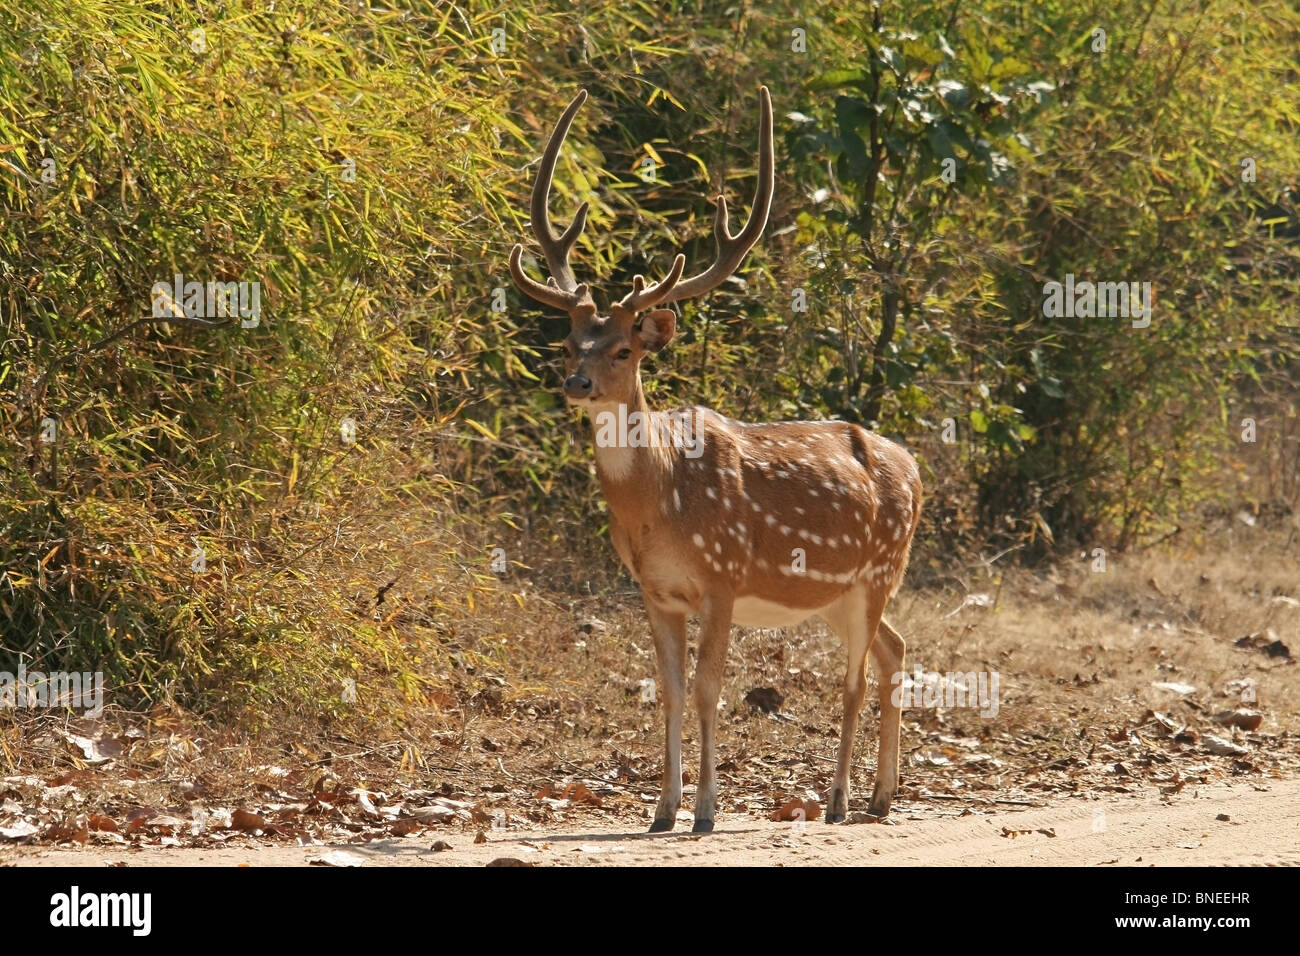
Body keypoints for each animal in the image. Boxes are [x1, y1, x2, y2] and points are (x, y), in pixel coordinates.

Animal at [508, 86, 923, 833]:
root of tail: (914, 467)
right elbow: (669, 692)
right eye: (570, 344)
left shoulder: (724, 576)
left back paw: (839, 801)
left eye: (623, 350)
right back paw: (881, 795)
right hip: (837, 592)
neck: (661, 500)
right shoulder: (653, 590)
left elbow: (707, 690)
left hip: (880, 568)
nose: (576, 384)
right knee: (894, 648)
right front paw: (662, 809)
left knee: (852, 679)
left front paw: (704, 810)